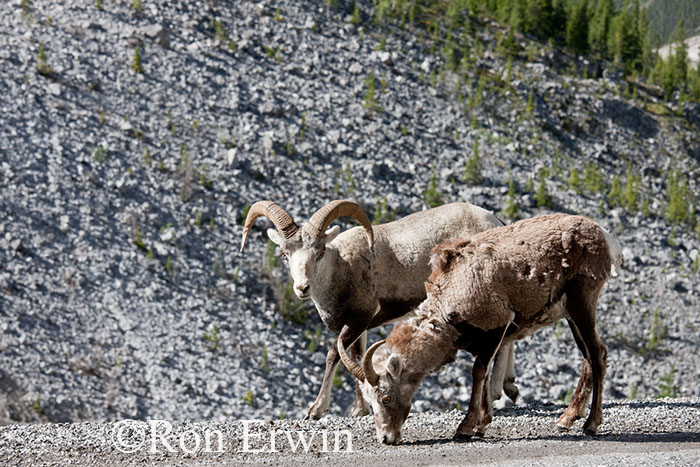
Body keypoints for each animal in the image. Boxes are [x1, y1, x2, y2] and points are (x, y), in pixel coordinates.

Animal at [240, 199, 519, 419]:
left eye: (319, 252)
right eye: (284, 253)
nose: (302, 288)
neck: (342, 269)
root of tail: (495, 222)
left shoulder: (357, 321)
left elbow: (334, 355)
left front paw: (316, 410)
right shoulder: (359, 328)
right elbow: (355, 358)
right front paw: (359, 410)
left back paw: (496, 393)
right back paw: (509, 388)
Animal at [338, 213, 623, 444]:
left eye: (386, 397)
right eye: (371, 401)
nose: (386, 438)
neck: (451, 297)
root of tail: (606, 237)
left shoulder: (497, 326)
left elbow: (479, 372)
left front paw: (465, 428)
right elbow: (484, 378)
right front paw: (482, 425)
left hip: (582, 302)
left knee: (598, 354)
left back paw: (590, 425)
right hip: (571, 315)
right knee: (587, 357)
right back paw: (566, 419)